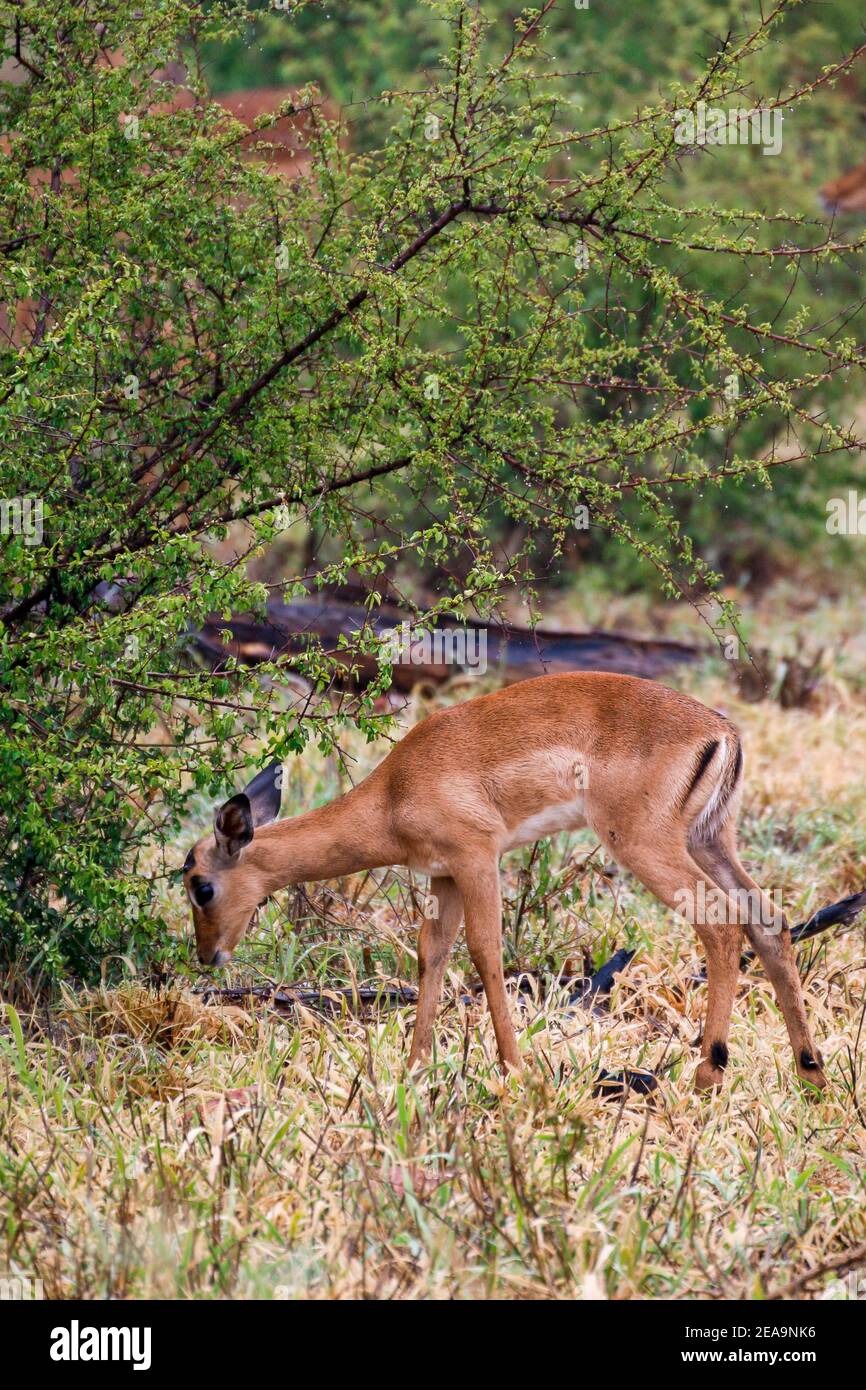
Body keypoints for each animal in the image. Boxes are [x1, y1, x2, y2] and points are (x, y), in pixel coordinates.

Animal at [183, 672, 828, 1093]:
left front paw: (513, 1070)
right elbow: (432, 955)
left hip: (647, 846)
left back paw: (707, 1072)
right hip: (709, 840)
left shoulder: (477, 857)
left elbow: (487, 952)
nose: (208, 956)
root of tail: (721, 729)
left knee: (721, 925)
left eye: (199, 886)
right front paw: (415, 1069)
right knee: (768, 921)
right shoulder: (443, 875)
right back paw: (810, 1072)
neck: (392, 794)